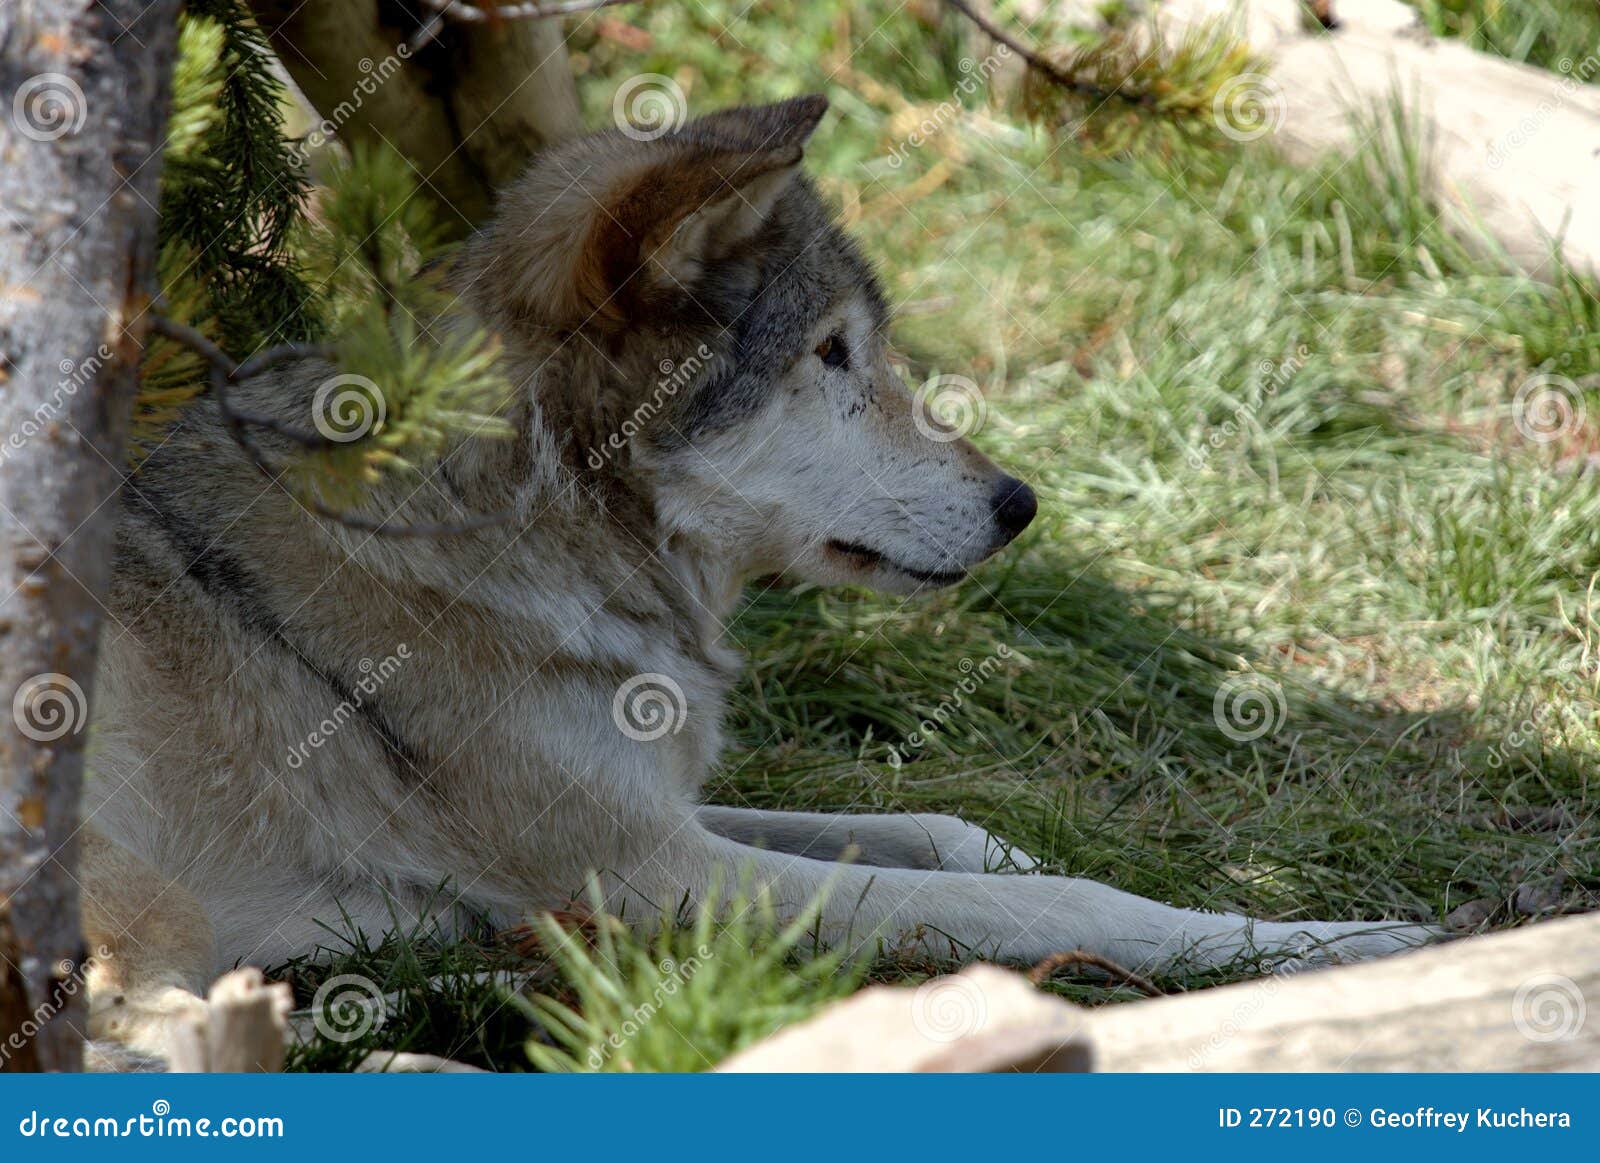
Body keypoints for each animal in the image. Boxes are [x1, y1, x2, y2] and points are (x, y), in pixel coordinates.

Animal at [81, 95, 1434, 1059]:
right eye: (831, 354)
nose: (1019, 505)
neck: (541, 527)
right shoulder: (654, 866)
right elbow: (1062, 904)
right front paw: (1334, 940)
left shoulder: (673, 815)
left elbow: (953, 832)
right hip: (145, 892)